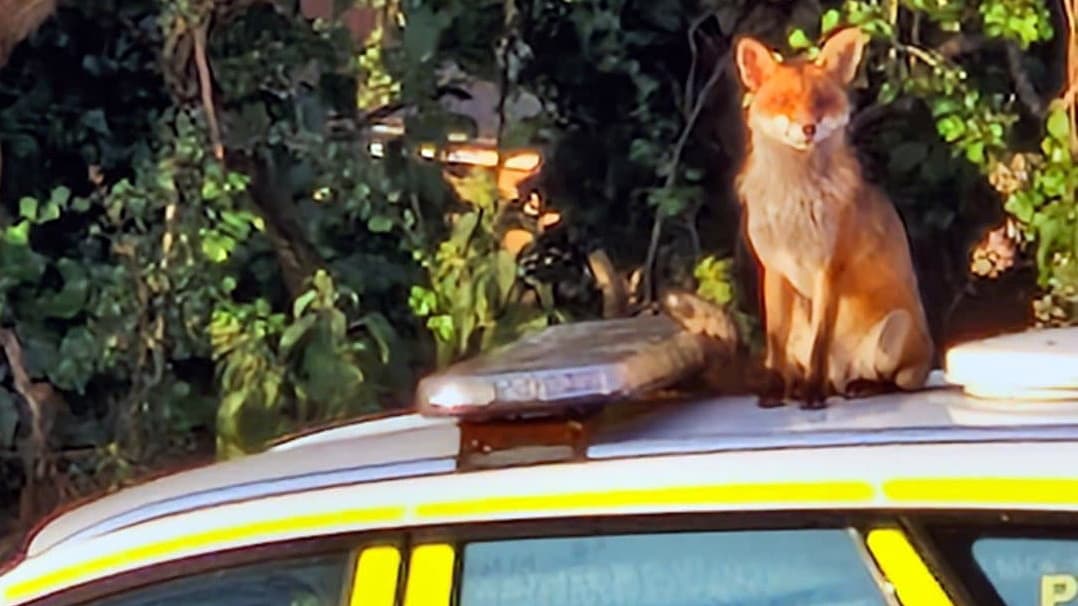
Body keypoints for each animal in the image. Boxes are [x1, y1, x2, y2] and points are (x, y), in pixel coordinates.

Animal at [733, 26, 934, 409]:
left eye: (821, 101)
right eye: (783, 101)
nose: (808, 127)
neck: (793, 202)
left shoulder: (829, 268)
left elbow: (820, 344)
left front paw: (813, 395)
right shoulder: (775, 269)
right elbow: (774, 346)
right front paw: (775, 390)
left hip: (896, 335)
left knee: (894, 383)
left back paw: (854, 386)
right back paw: (801, 387)